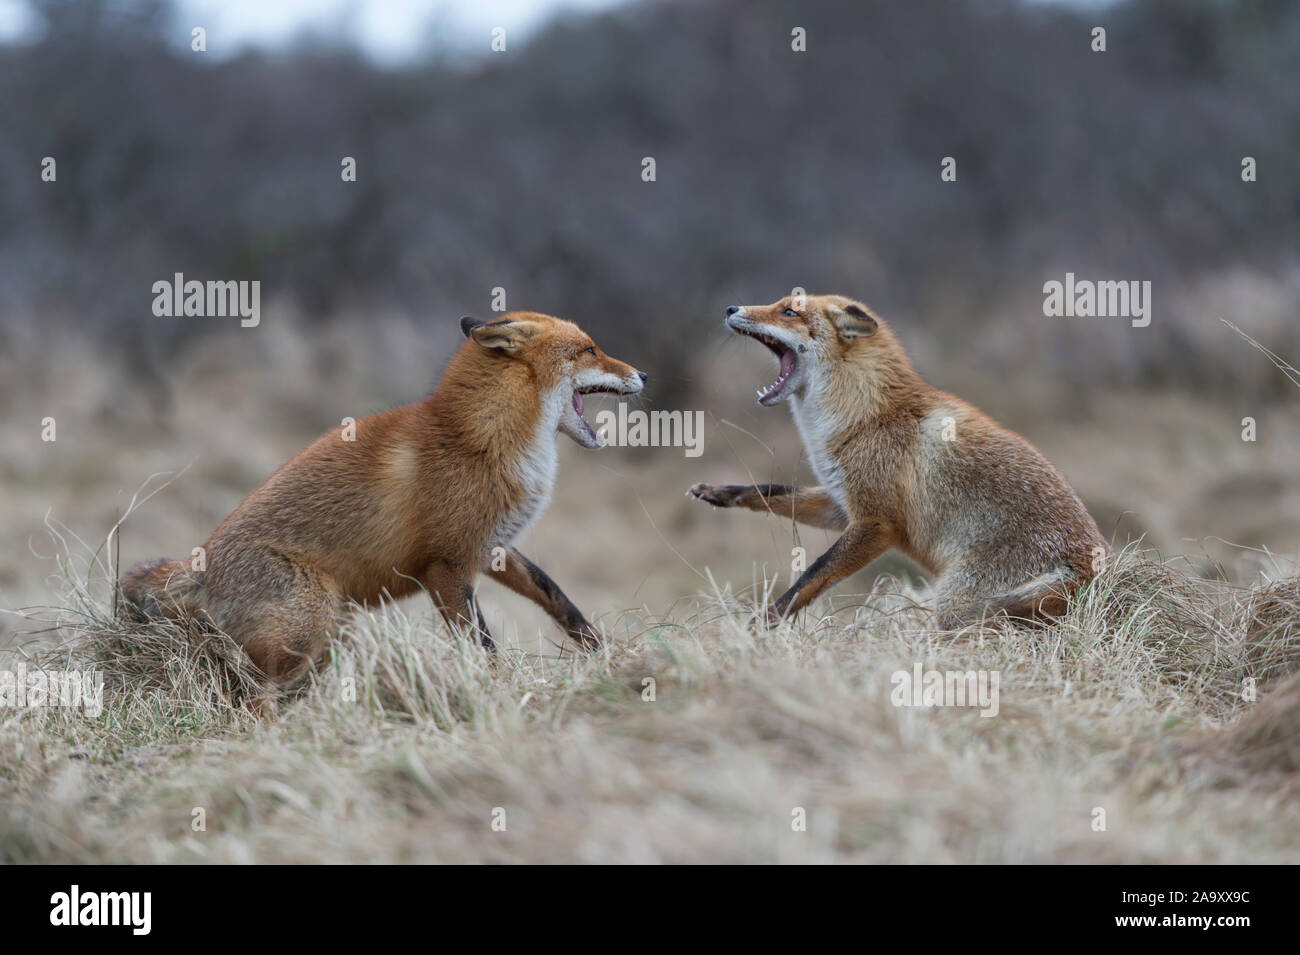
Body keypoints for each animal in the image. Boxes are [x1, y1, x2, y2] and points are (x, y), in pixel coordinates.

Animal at [121, 311, 646, 693]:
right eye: (589, 349)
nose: (643, 372)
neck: (480, 440)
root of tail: (196, 564)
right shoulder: (445, 566)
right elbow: (482, 646)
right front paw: (500, 692)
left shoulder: (492, 548)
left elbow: (557, 597)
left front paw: (605, 652)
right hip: (313, 620)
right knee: (253, 691)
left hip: (333, 629)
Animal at [688, 293, 1109, 629]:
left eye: (789, 311)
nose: (731, 308)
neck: (863, 413)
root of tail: (1098, 568)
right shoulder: (843, 504)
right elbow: (770, 491)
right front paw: (719, 492)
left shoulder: (877, 522)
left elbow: (811, 576)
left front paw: (760, 627)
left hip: (955, 604)